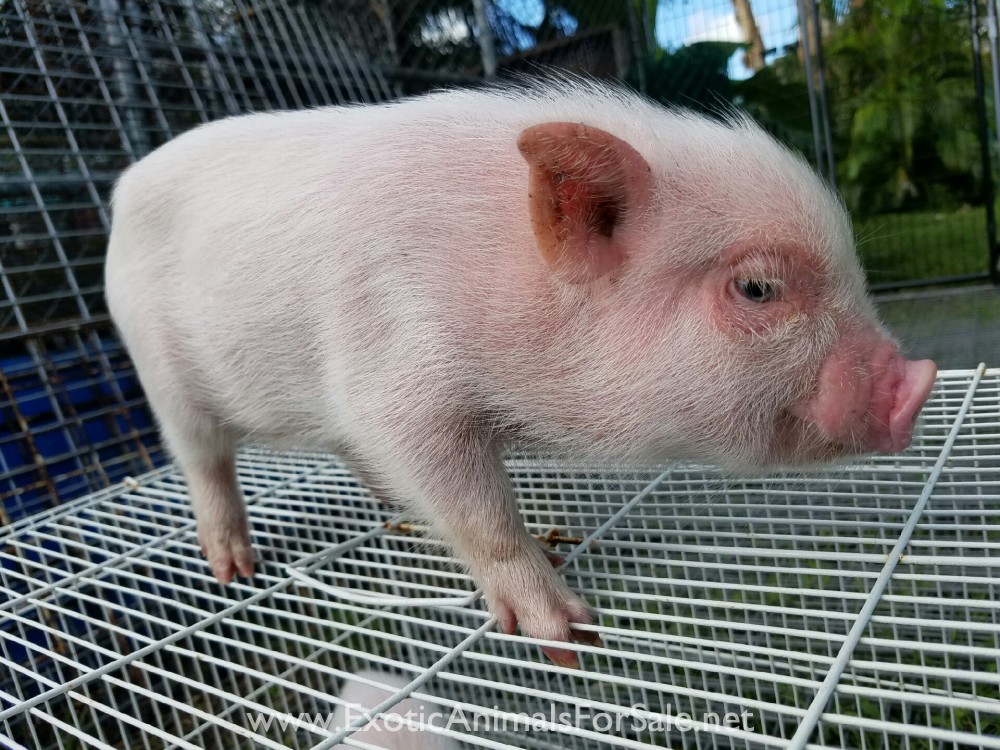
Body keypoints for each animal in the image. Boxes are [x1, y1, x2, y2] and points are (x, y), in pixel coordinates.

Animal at [104, 78, 937, 668]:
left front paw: (559, 556)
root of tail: (123, 183)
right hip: (158, 369)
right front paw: (570, 637)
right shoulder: (400, 386)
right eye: (758, 288)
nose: (920, 379)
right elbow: (481, 513)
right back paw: (234, 570)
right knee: (205, 462)